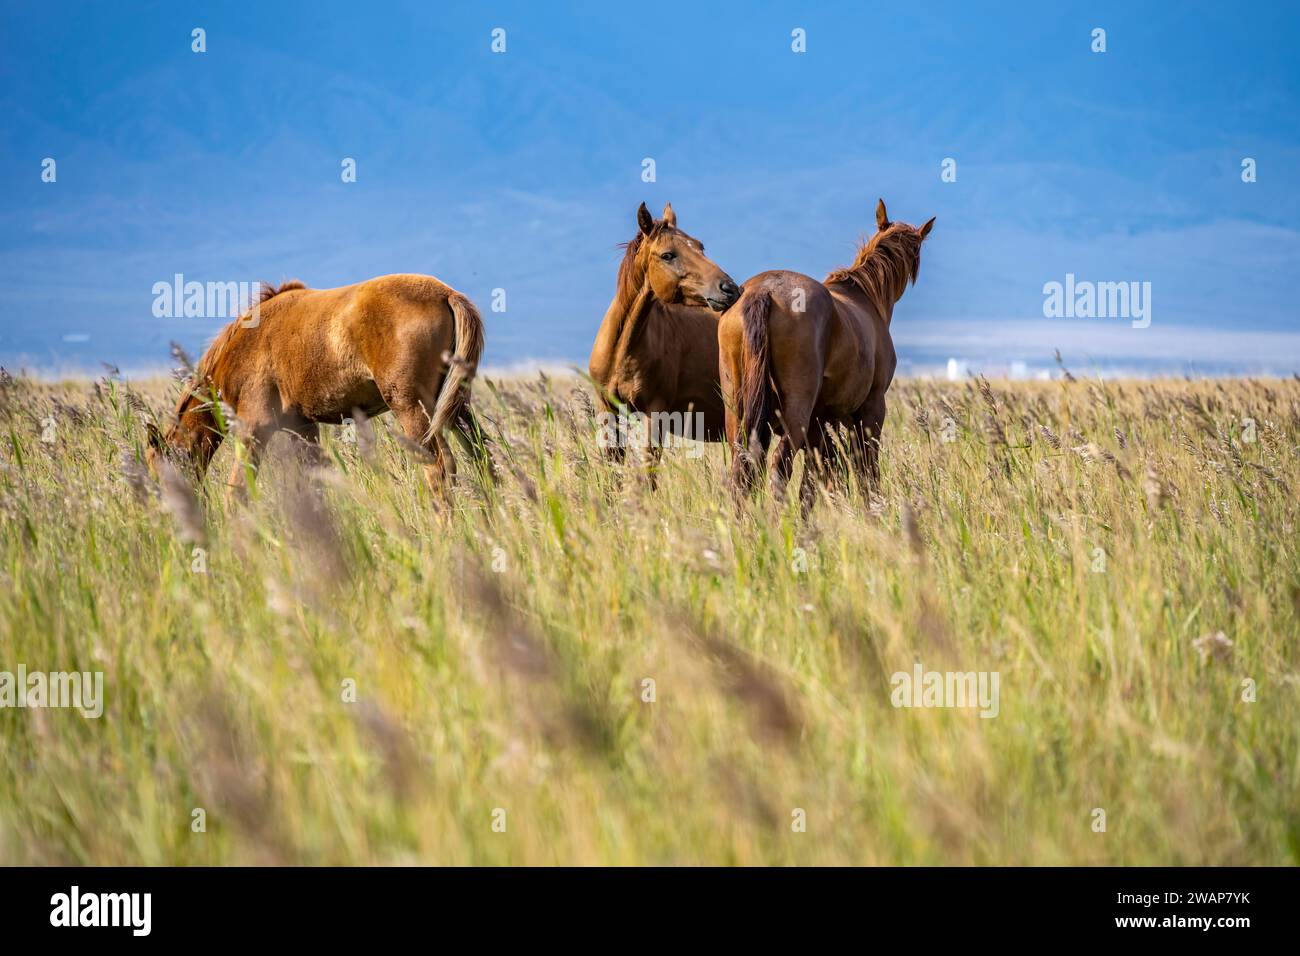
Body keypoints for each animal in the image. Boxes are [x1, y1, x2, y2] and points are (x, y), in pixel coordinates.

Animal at [146, 273, 486, 504]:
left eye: (159, 472)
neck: (243, 345)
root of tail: (446, 294)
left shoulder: (254, 428)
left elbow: (239, 490)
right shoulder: (302, 429)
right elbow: (313, 484)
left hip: (412, 407)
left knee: (440, 468)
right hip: (456, 409)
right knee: (481, 457)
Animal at [587, 202, 741, 469]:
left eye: (700, 246)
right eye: (668, 255)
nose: (730, 289)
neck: (621, 351)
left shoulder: (656, 411)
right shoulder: (608, 410)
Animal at [718, 199, 934, 508]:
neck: (866, 298)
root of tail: (764, 292)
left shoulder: (824, 423)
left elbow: (820, 479)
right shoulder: (870, 409)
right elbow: (866, 471)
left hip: (737, 408)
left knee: (742, 467)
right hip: (796, 413)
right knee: (779, 466)